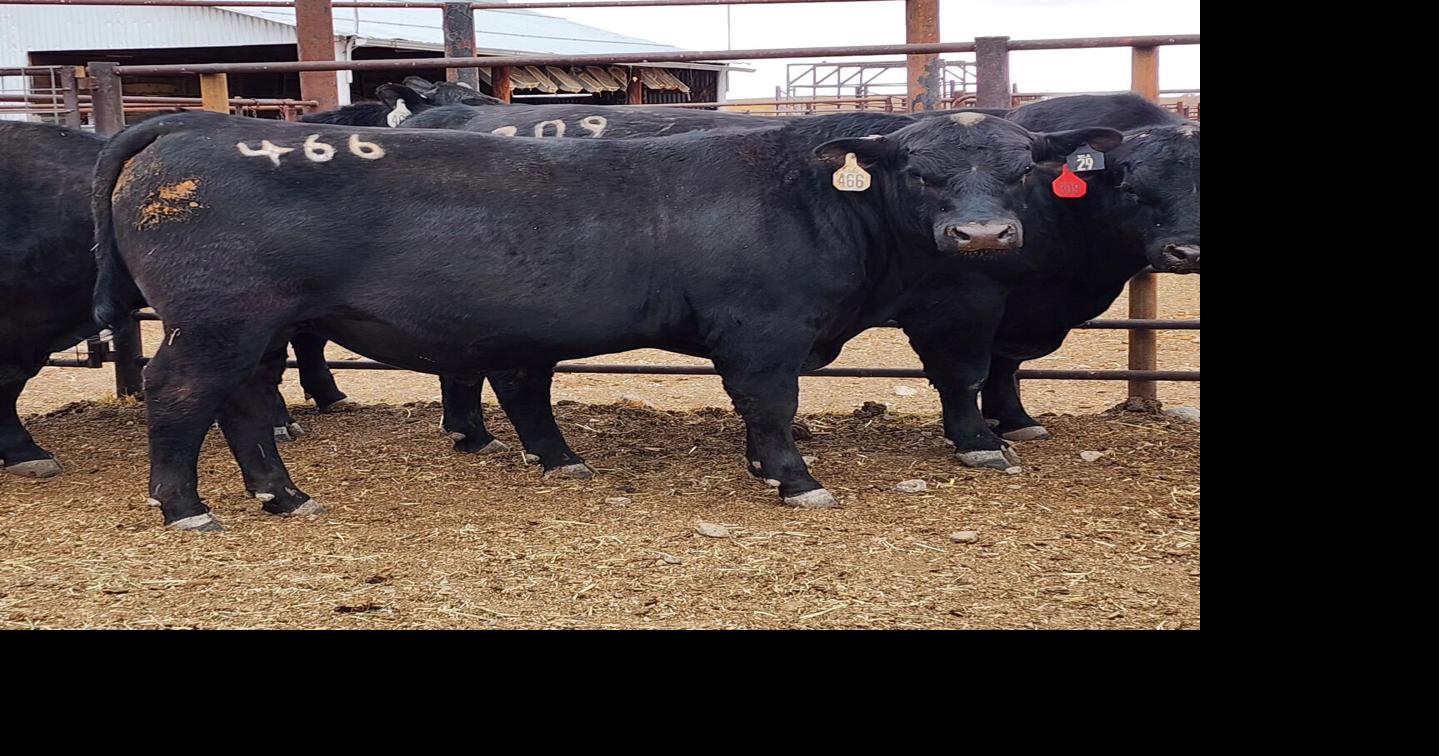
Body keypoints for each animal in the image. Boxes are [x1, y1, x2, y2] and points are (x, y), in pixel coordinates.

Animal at [91, 110, 1120, 530]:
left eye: (1023, 168)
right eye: (920, 170)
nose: (982, 233)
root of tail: (190, 130)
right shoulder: (761, 330)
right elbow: (772, 407)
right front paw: (794, 480)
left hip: (255, 327)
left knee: (242, 403)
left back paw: (283, 494)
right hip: (217, 319)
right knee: (179, 396)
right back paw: (183, 506)